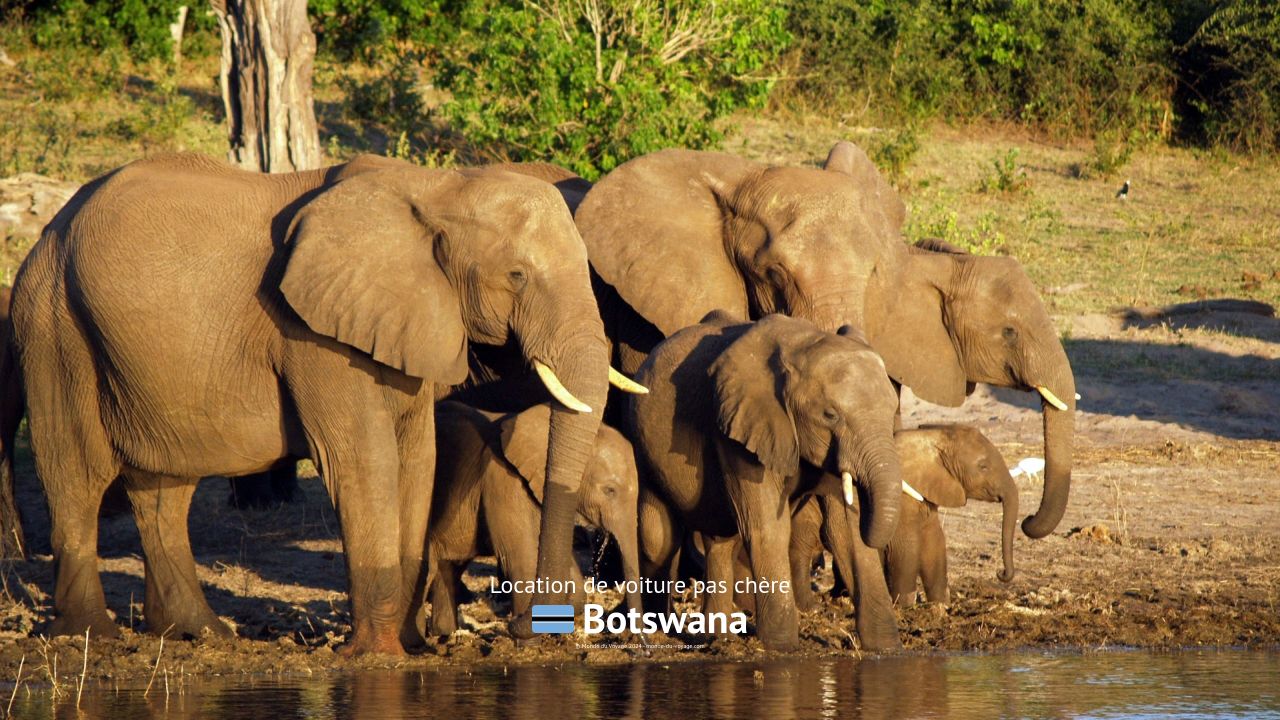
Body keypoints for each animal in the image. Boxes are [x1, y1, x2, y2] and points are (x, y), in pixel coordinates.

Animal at [7, 149, 609, 650]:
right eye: (517, 275)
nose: (538, 629)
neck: (436, 187)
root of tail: (50, 227)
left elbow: (418, 459)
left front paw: (413, 648)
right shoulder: (312, 334)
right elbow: (366, 461)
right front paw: (378, 657)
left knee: (164, 488)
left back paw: (200, 634)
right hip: (55, 323)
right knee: (77, 472)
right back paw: (90, 636)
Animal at [424, 399, 640, 630]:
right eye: (610, 490)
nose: (511, 621)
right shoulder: (503, 480)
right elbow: (521, 561)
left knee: (448, 569)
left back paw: (443, 634)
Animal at [627, 311, 906, 648]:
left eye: (893, 410)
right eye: (829, 415)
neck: (801, 345)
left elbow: (845, 530)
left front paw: (886, 647)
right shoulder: (739, 427)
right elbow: (769, 527)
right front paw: (782, 648)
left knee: (720, 540)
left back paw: (717, 637)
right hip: (643, 443)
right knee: (659, 538)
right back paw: (658, 630)